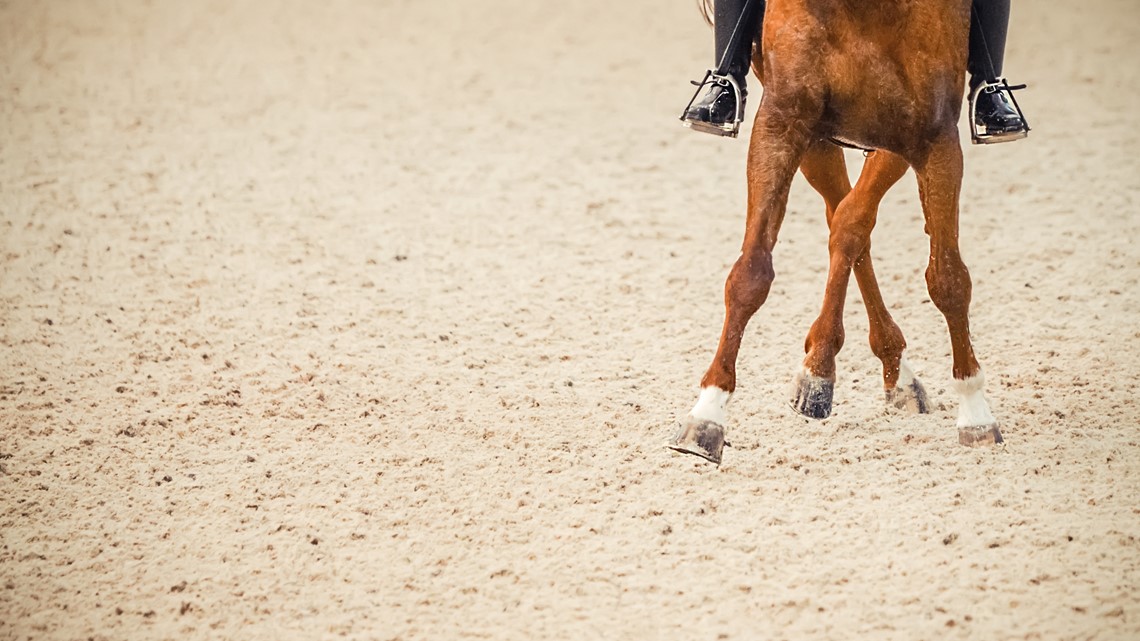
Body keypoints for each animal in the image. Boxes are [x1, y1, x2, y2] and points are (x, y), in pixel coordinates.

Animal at [669, 0, 1005, 465]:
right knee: (839, 215)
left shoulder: (930, 139)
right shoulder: (783, 123)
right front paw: (708, 414)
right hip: (817, 141)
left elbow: (946, 277)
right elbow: (752, 273)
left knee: (849, 222)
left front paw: (975, 411)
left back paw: (880, 372)